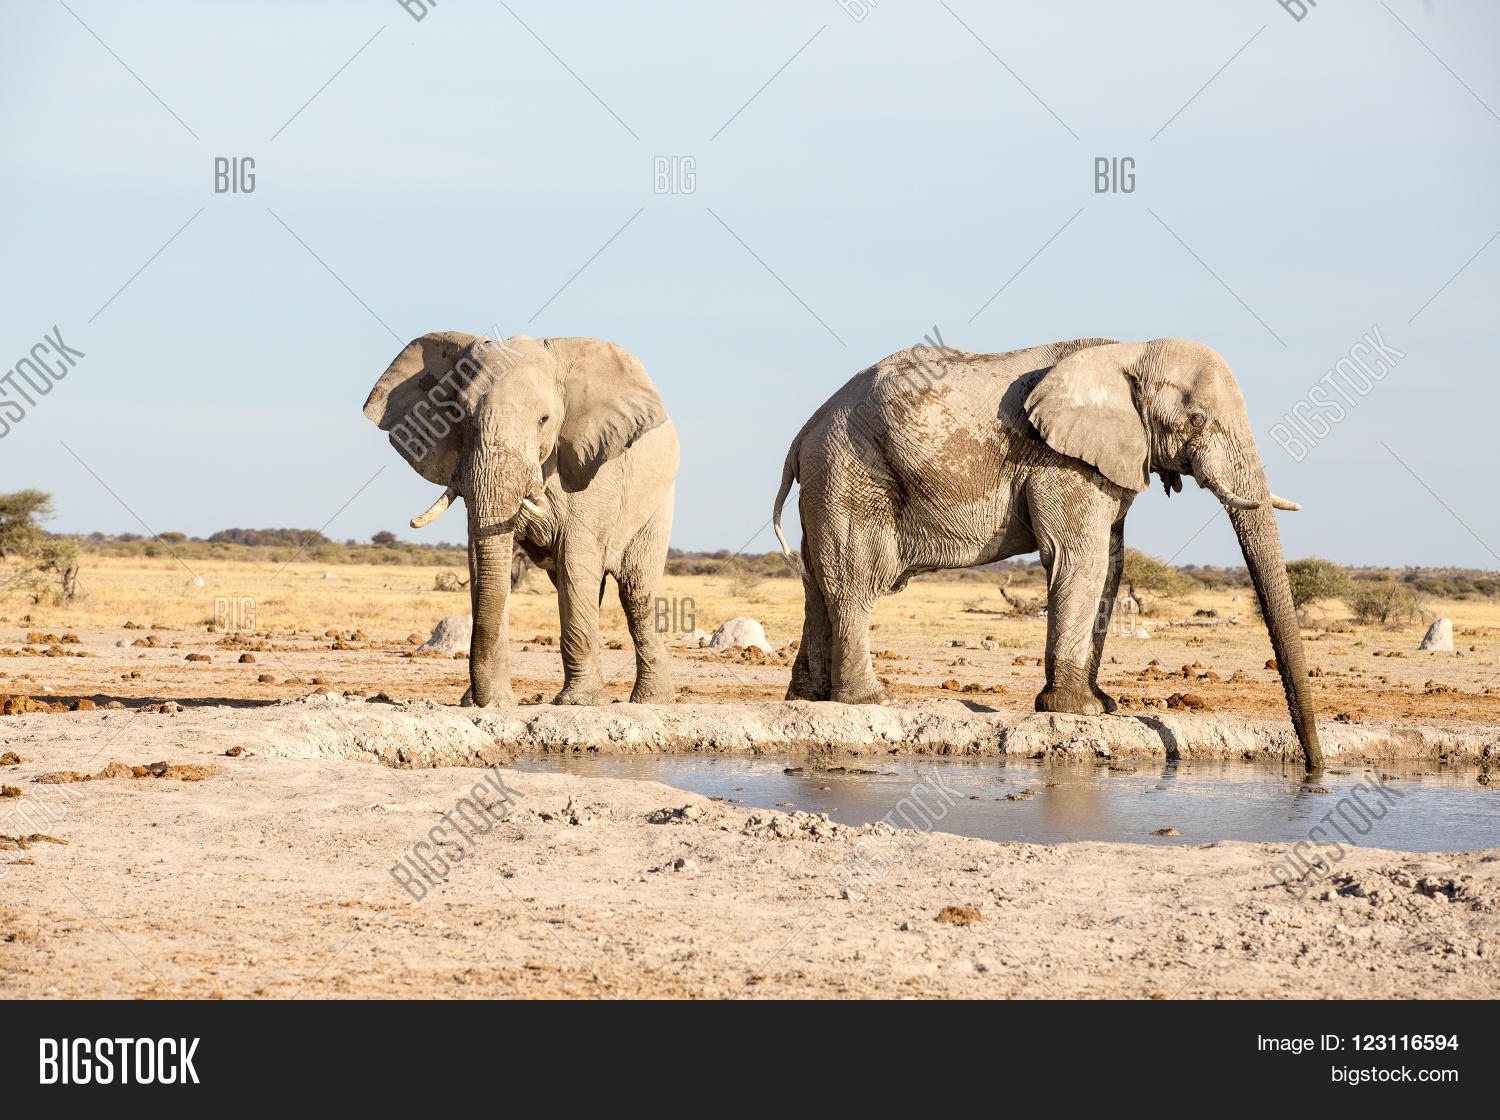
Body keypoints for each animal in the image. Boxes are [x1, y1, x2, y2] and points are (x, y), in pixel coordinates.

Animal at [364, 331, 679, 708]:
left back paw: (651, 701)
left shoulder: (594, 471)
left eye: (544, 420)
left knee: (635, 591)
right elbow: (482, 563)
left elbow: (575, 557)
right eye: (460, 416)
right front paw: (492, 704)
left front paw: (578, 702)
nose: (478, 699)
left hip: (659, 502)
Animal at [772, 337, 1322, 770]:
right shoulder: (1062, 460)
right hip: (851, 474)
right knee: (855, 582)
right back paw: (871, 700)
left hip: (828, 479)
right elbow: (1081, 559)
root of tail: (801, 436)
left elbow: (1112, 565)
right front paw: (1076, 710)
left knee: (817, 584)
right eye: (1197, 418)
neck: (1128, 353)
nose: (1312, 773)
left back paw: (807, 699)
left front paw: (1104, 707)